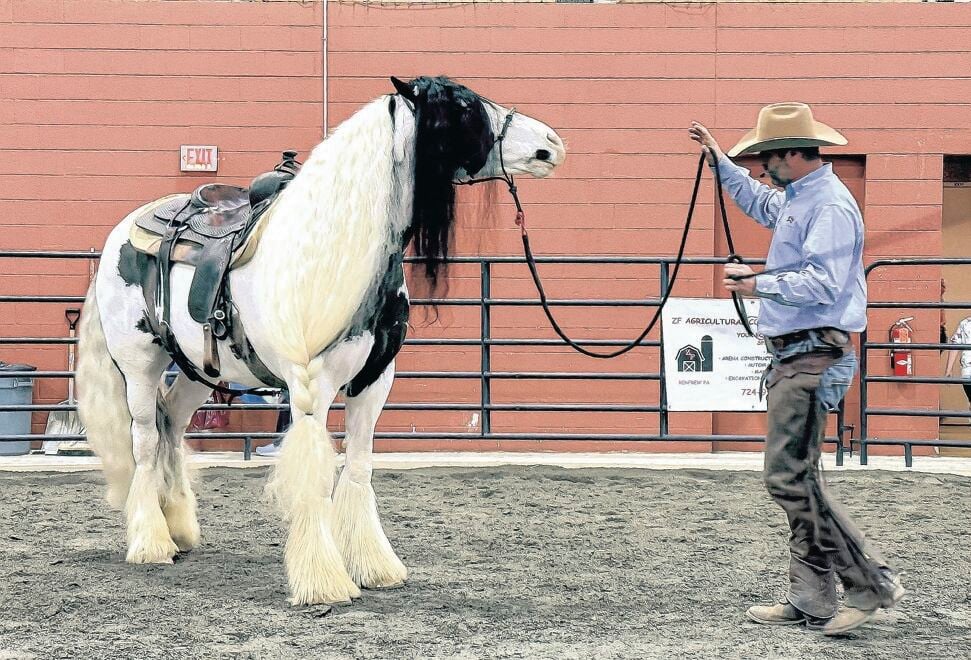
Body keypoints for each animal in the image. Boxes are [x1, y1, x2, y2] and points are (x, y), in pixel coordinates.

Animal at [75, 76, 566, 606]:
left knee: (172, 425)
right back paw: (151, 542)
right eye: (460, 107)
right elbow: (313, 475)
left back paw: (180, 529)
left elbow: (358, 466)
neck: (338, 254)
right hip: (140, 366)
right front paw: (324, 580)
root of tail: (125, 231)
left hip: (197, 373)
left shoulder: (374, 381)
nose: (551, 144)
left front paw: (375, 566)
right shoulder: (310, 388)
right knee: (145, 441)